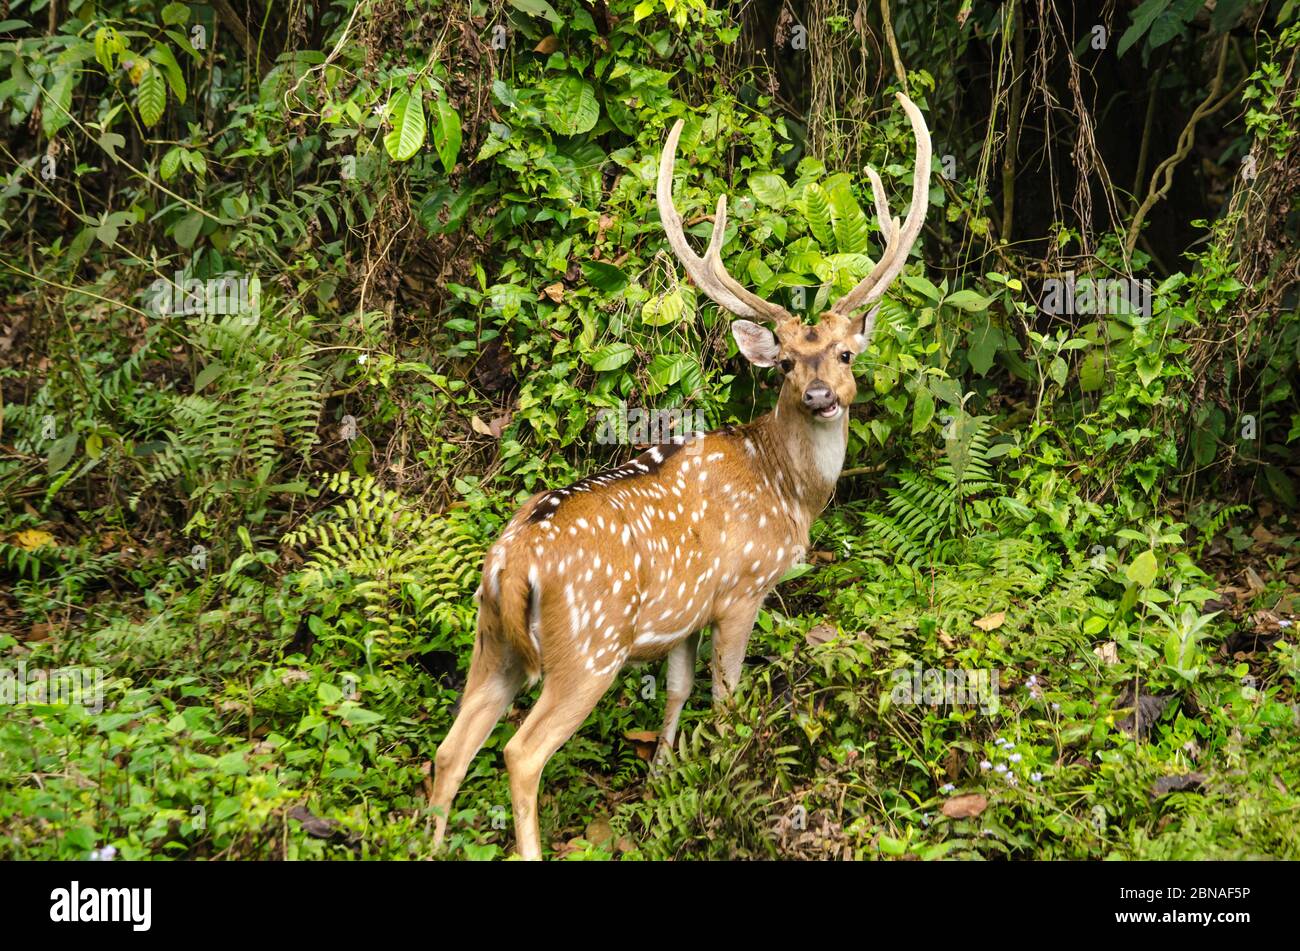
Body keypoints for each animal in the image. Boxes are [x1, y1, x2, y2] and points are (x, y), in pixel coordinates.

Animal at [430, 92, 931, 860]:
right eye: (786, 362)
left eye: (846, 354)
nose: (821, 395)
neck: (788, 490)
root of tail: (511, 565)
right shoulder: (741, 588)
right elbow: (724, 697)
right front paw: (727, 787)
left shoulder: (682, 617)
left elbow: (676, 689)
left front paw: (662, 780)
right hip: (588, 649)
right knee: (519, 753)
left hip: (491, 642)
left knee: (449, 753)